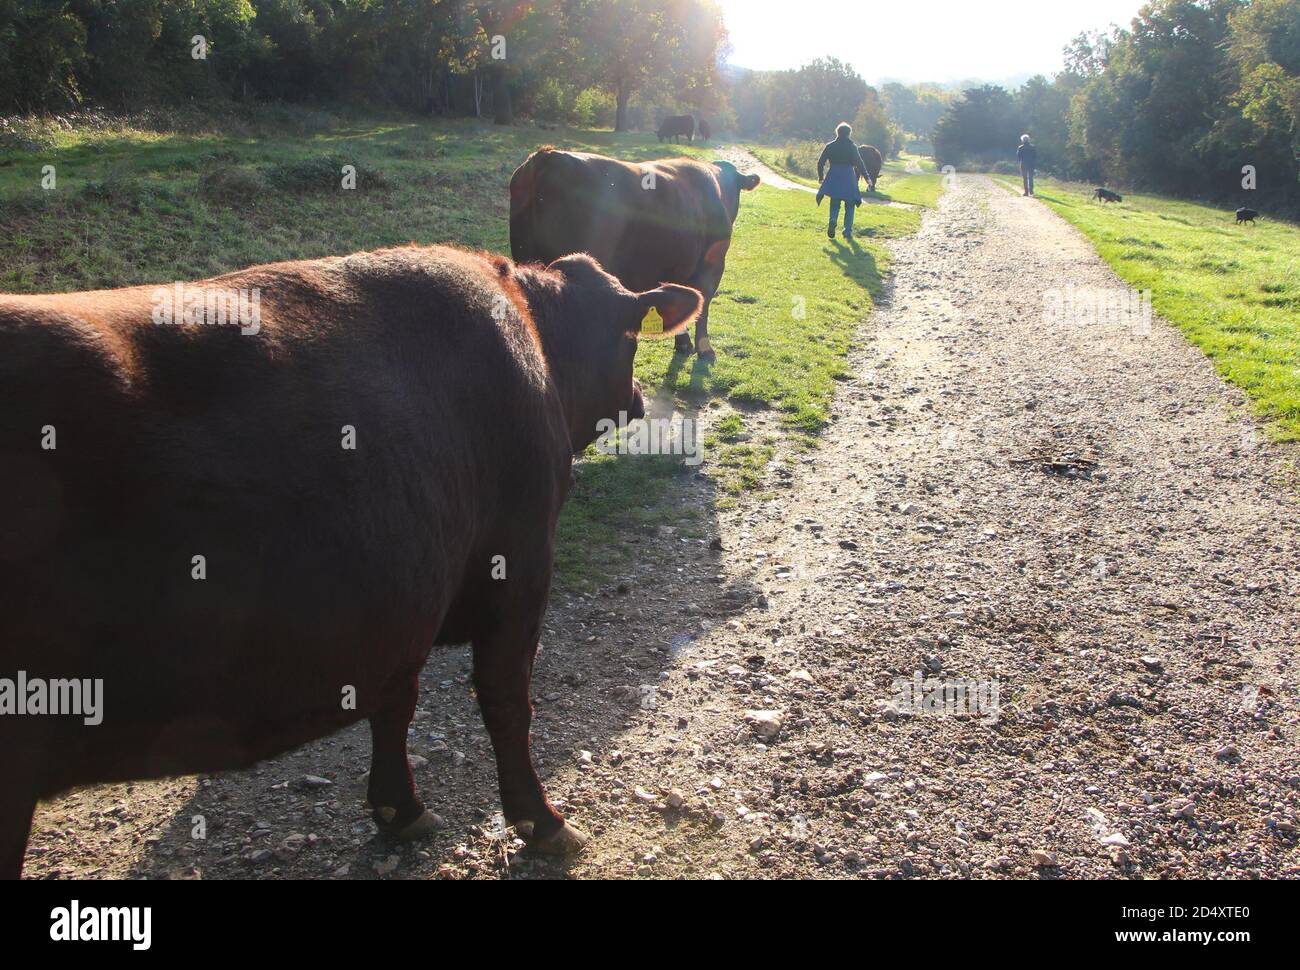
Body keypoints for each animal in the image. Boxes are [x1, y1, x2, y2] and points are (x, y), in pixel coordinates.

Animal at [0, 245, 703, 878]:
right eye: (628, 341)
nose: (638, 396)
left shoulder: (403, 601)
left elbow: (396, 702)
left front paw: (398, 810)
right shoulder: (519, 568)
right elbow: (507, 702)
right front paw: (541, 822)